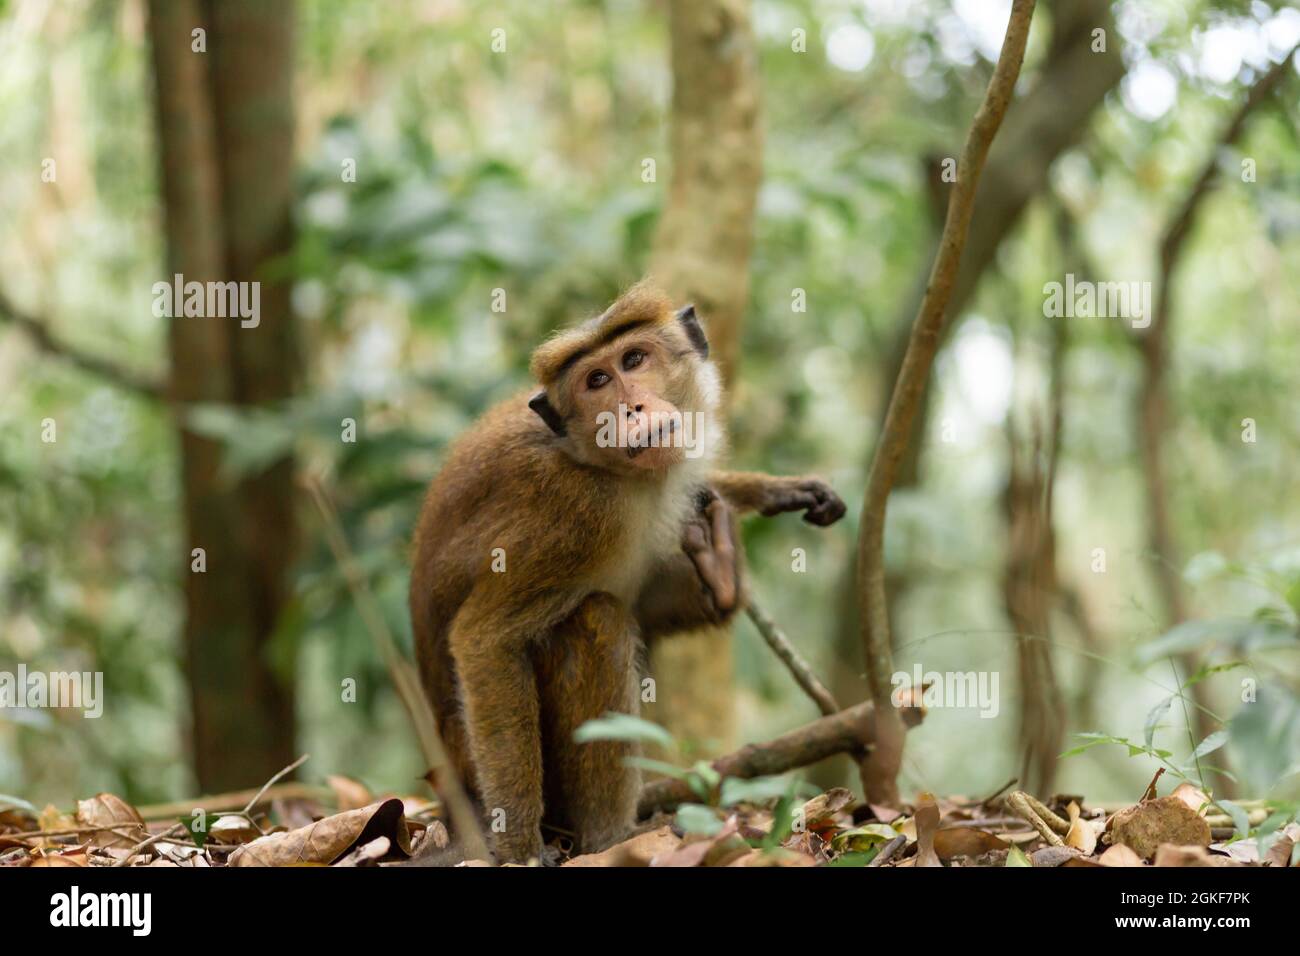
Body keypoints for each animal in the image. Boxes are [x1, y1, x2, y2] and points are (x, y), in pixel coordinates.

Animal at [409, 281, 845, 864]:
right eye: (596, 381)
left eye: (634, 360)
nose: (633, 407)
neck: (610, 470)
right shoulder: (574, 515)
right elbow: (485, 641)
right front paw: (519, 845)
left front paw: (767, 495)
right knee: (597, 619)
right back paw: (610, 836)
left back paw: (721, 572)